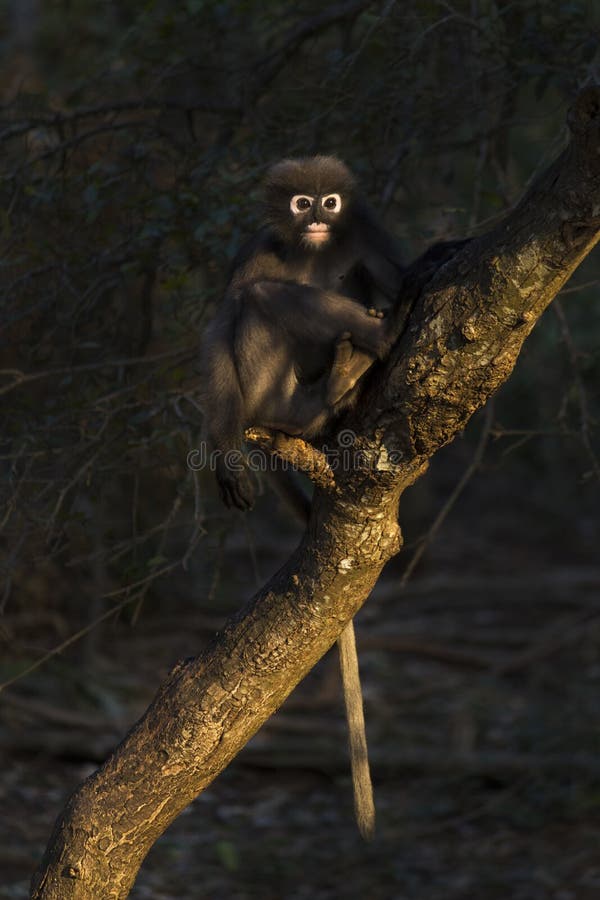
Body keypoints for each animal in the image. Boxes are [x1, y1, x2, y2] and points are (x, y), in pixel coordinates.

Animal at [197, 156, 407, 840]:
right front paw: (224, 461)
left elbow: (392, 271)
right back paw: (336, 380)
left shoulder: (366, 231)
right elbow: (222, 326)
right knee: (256, 303)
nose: (316, 217)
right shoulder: (256, 250)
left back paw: (350, 374)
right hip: (267, 393)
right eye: (299, 203)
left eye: (329, 201)